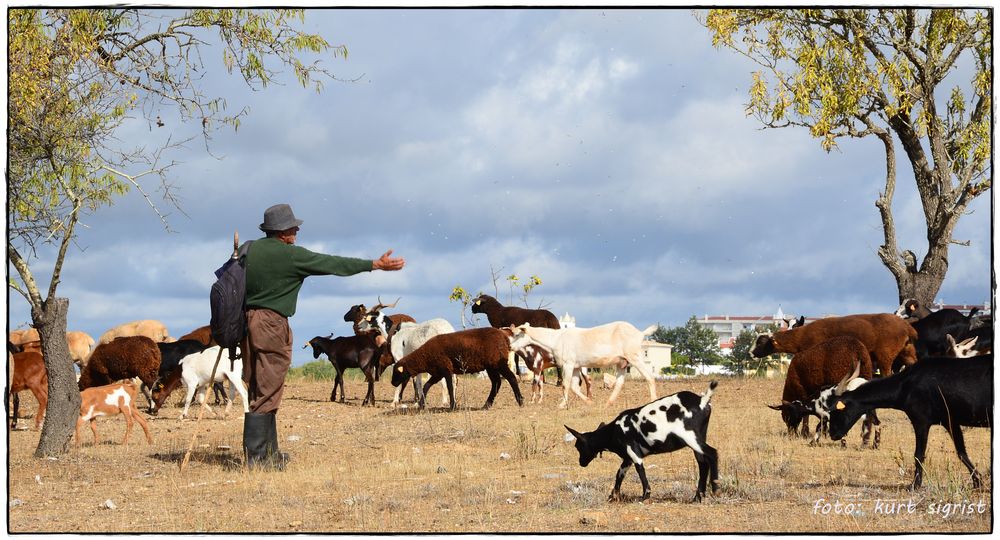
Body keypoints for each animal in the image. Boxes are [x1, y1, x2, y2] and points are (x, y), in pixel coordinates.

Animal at [391, 327, 524, 410]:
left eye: (397, 372)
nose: (392, 383)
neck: (424, 356)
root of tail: (505, 337)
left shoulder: (446, 369)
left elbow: (450, 387)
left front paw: (452, 405)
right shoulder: (437, 373)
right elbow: (426, 386)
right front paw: (422, 404)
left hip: (499, 363)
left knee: (511, 378)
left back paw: (520, 401)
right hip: (491, 366)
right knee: (496, 382)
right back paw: (487, 405)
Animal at [507, 322, 659, 409]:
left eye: (518, 334)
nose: (510, 346)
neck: (556, 339)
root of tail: (640, 333)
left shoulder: (568, 364)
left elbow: (565, 385)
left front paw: (562, 404)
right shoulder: (576, 367)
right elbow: (574, 387)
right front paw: (589, 402)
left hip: (635, 357)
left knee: (650, 377)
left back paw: (653, 400)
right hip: (622, 363)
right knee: (619, 383)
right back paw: (608, 403)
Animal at [565, 381, 719, 503]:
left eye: (578, 446)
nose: (581, 463)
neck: (614, 430)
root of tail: (702, 400)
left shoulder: (635, 454)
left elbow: (641, 473)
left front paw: (645, 496)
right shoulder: (627, 458)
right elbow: (619, 474)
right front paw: (614, 496)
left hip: (689, 437)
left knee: (712, 453)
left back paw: (716, 488)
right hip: (698, 438)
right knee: (703, 464)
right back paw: (698, 497)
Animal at [750, 313, 917, 376]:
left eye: (761, 342)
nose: (751, 353)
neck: (802, 335)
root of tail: (906, 326)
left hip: (885, 356)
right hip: (907, 352)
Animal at [828, 355, 993, 489]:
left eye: (836, 410)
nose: (833, 434)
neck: (906, 384)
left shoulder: (920, 420)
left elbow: (918, 454)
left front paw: (914, 485)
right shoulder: (950, 421)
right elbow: (961, 452)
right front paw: (978, 482)